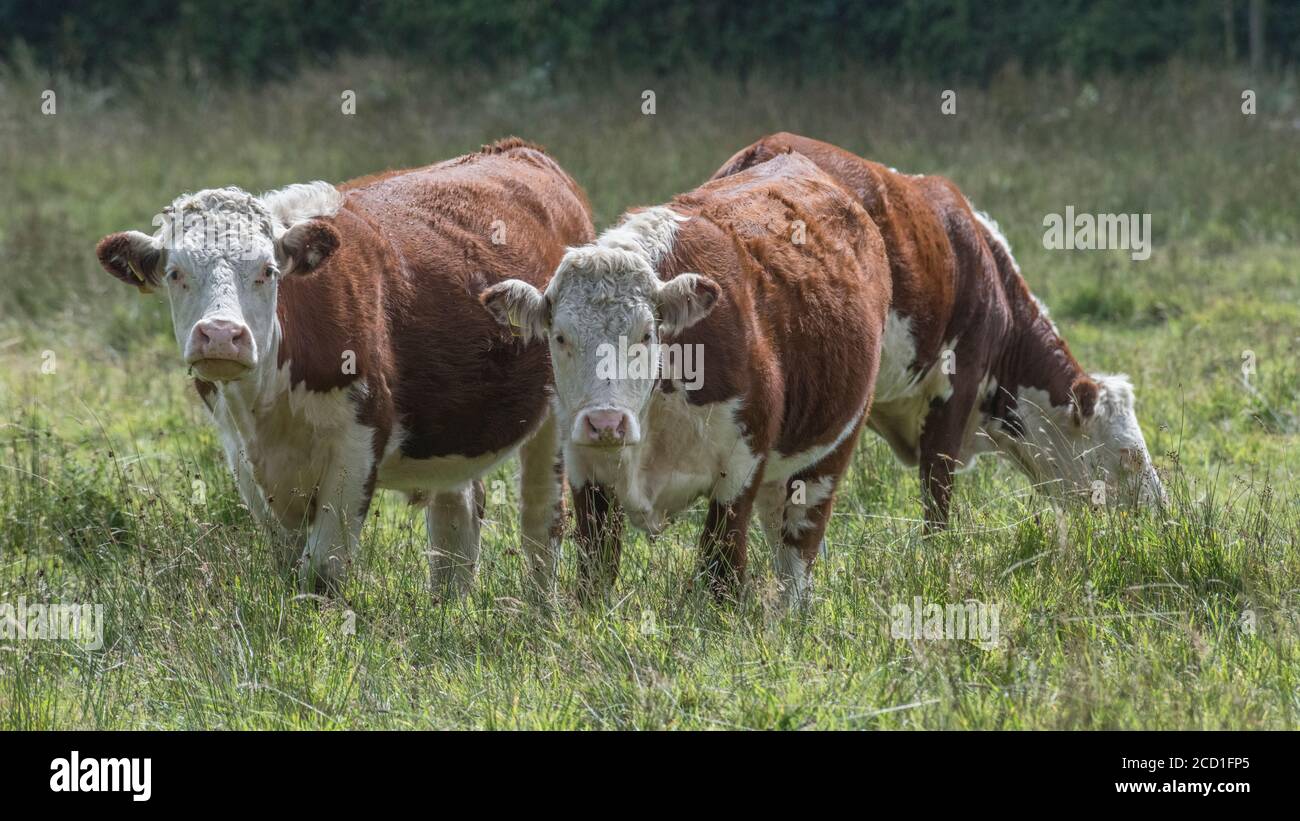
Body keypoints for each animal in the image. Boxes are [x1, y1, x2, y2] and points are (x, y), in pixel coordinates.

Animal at [95, 138, 594, 597]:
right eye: (175, 273)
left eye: (267, 271)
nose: (220, 334)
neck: (268, 404)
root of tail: (517, 149)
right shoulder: (242, 455)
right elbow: (287, 563)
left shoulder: (358, 442)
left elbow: (323, 571)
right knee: (458, 516)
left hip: (560, 412)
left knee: (542, 520)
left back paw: (539, 612)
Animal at [480, 152, 891, 605]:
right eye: (560, 336)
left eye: (646, 334)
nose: (606, 423)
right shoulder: (584, 467)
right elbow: (596, 571)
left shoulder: (742, 465)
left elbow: (721, 572)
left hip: (830, 454)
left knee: (798, 551)